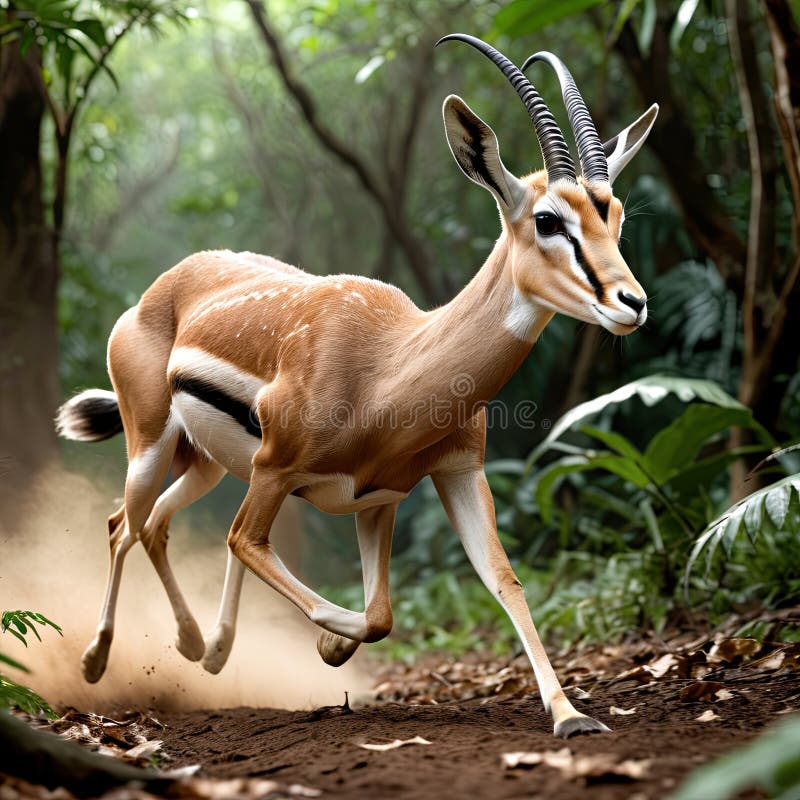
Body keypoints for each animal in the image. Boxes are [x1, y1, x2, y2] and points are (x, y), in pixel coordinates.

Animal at [56, 35, 657, 737]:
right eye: (548, 219)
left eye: (615, 215)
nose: (632, 303)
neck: (388, 366)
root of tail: (159, 290)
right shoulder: (279, 472)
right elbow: (255, 549)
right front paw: (326, 647)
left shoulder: (414, 487)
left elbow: (456, 593)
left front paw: (569, 717)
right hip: (155, 447)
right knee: (123, 523)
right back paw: (103, 660)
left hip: (206, 462)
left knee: (152, 524)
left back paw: (204, 648)